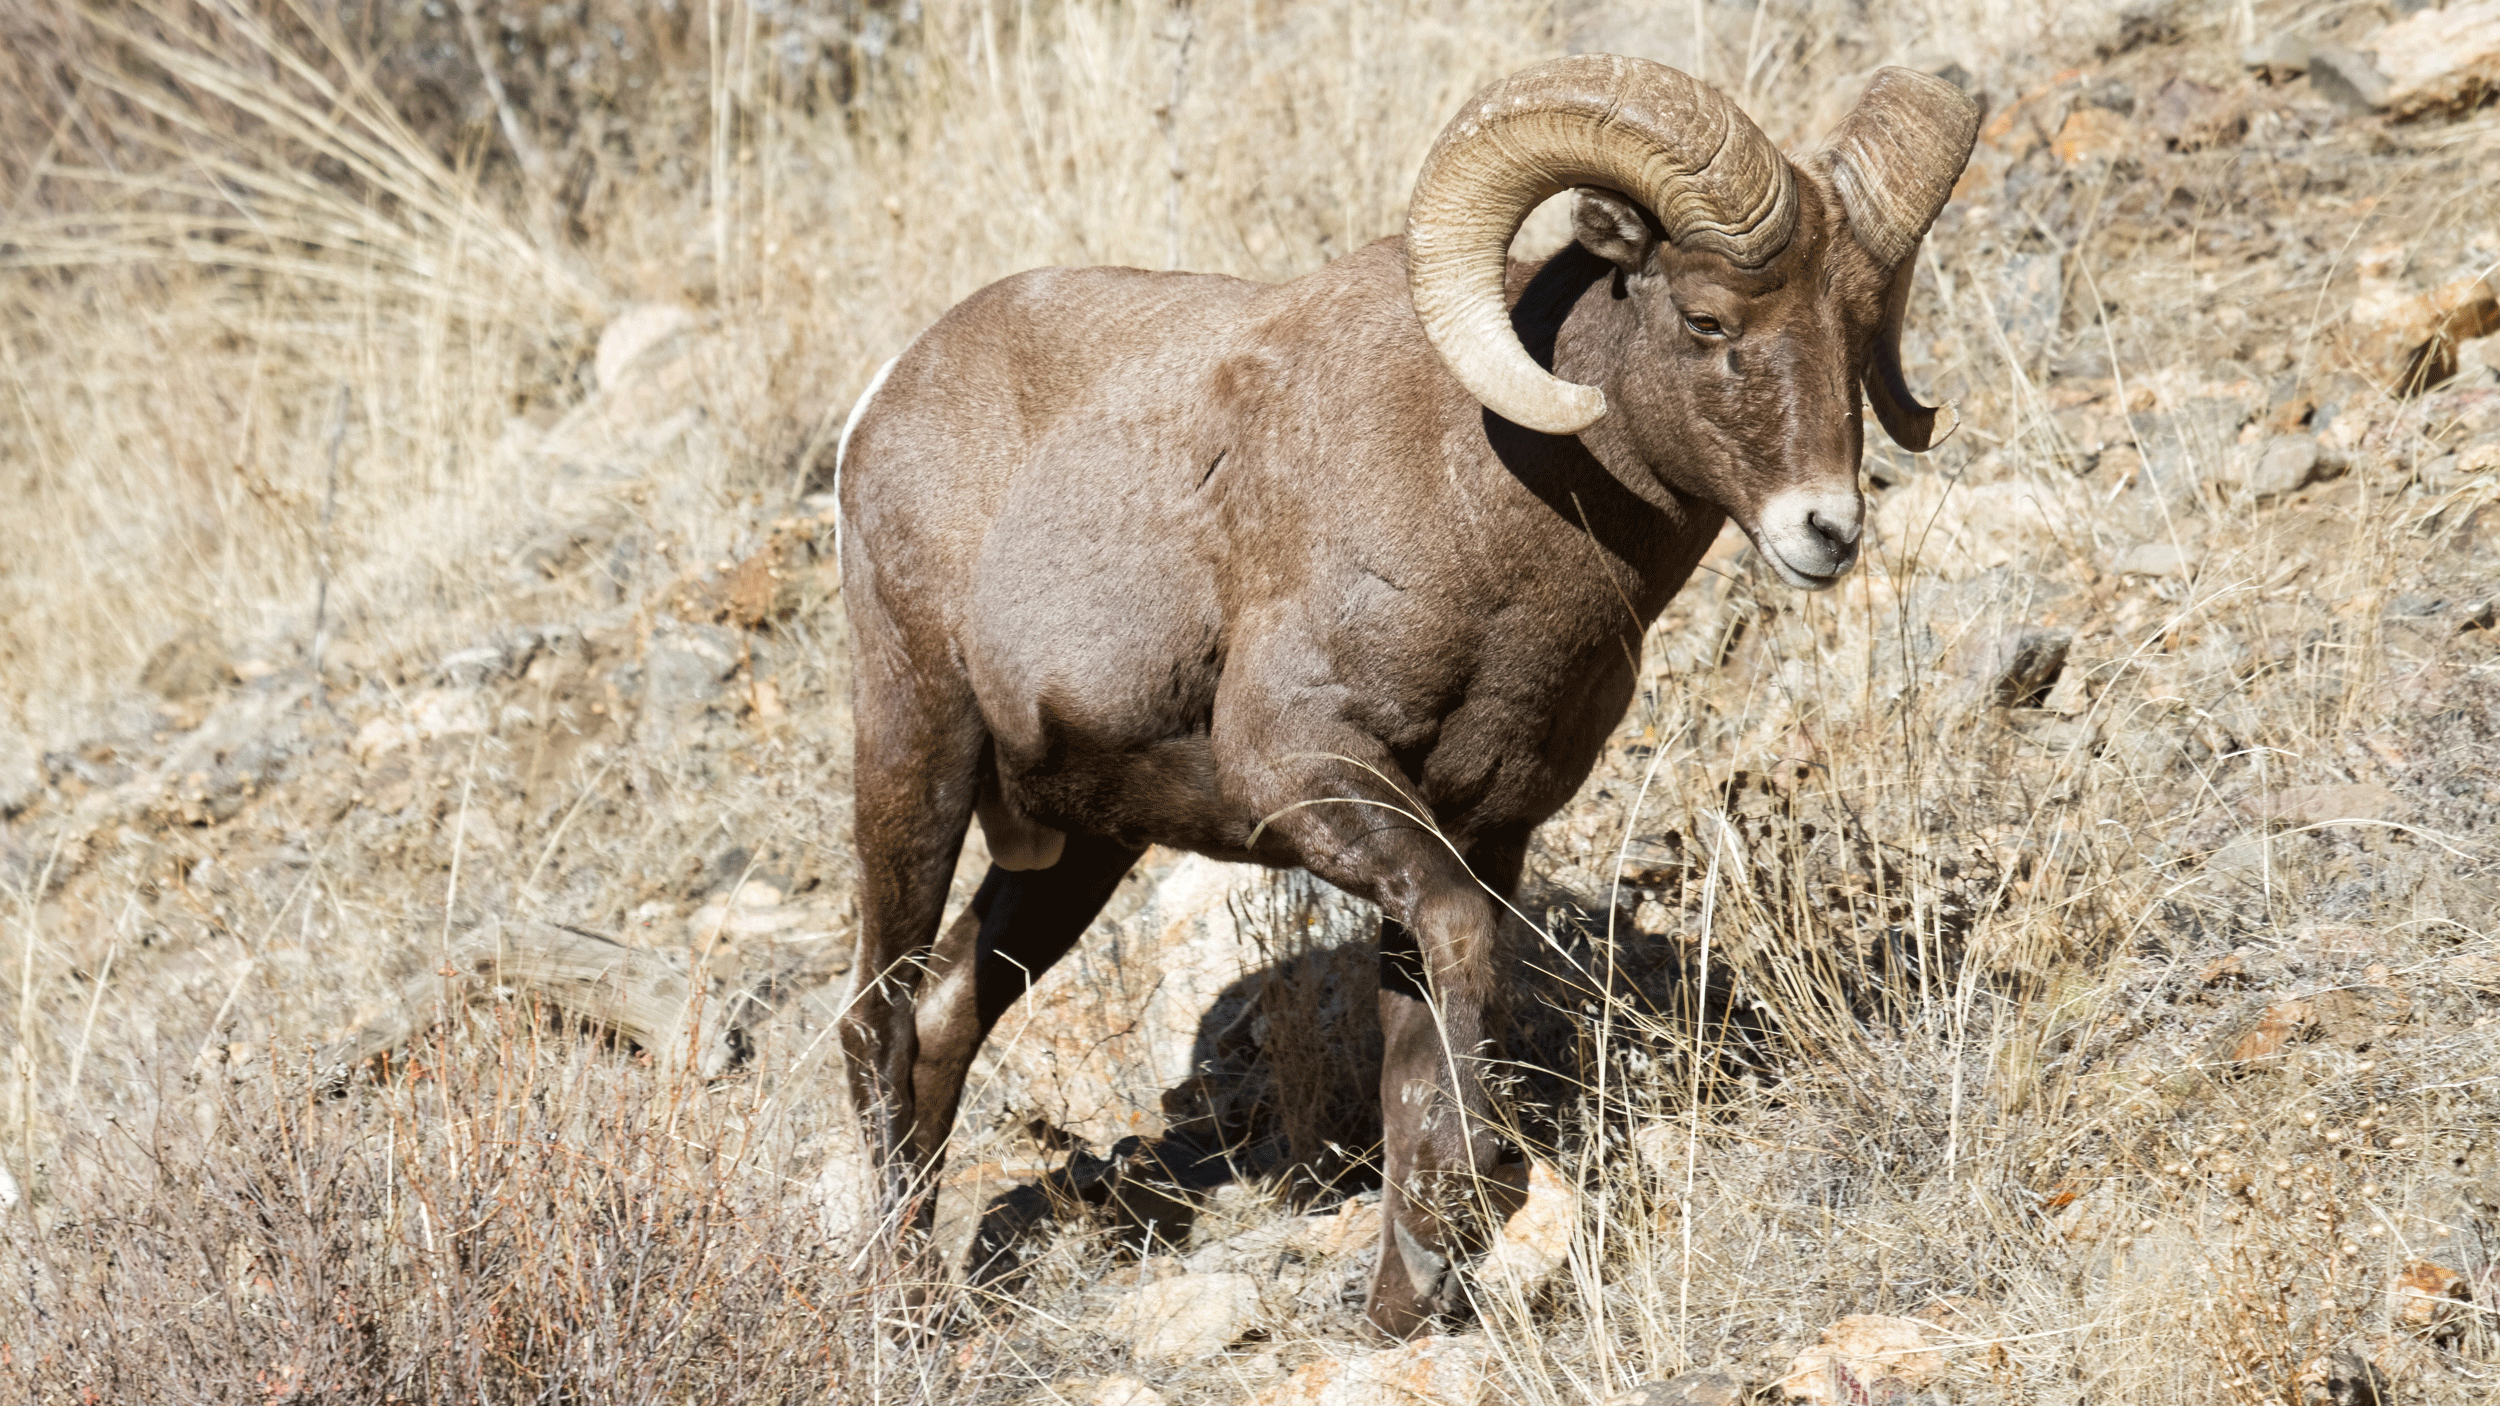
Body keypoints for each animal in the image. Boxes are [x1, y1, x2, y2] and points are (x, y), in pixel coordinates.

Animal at [834, 55, 1979, 1336]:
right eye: (1706, 320)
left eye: (1857, 331)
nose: (1825, 529)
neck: (1487, 507)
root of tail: (885, 404)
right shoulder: (1312, 775)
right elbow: (1456, 959)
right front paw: (1477, 1197)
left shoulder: (1480, 829)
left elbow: (1417, 1044)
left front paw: (1408, 1290)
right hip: (916, 750)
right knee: (875, 1017)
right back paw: (894, 1302)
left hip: (1081, 844)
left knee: (946, 1011)